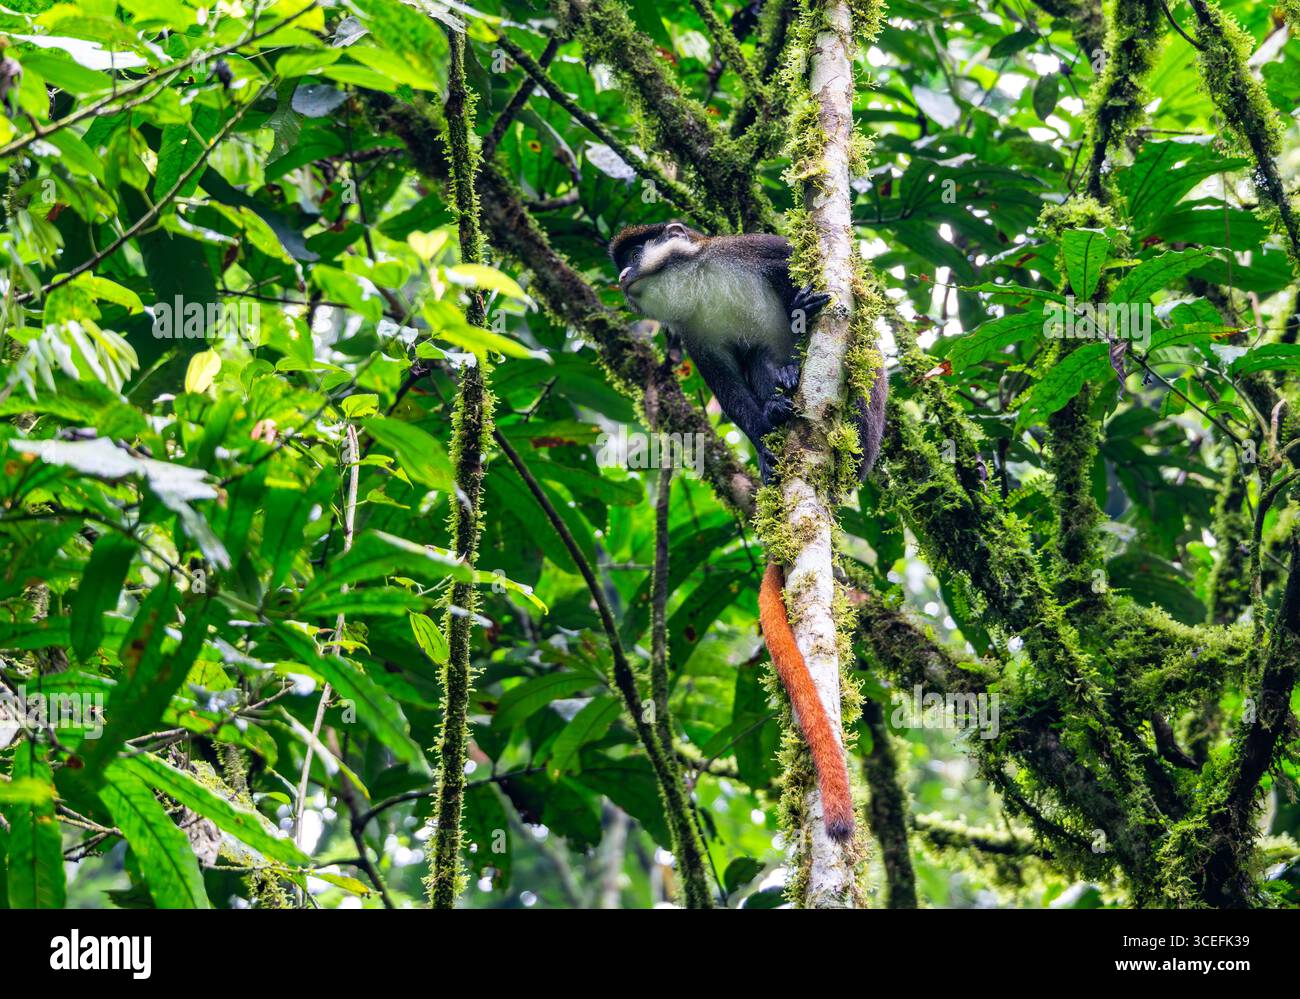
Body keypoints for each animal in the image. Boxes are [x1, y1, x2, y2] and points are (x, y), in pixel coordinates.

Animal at [610, 221, 887, 842]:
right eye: (621, 261)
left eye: (635, 252)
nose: (621, 276)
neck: (697, 282)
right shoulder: (694, 339)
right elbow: (731, 386)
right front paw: (764, 433)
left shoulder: (754, 250)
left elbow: (829, 289)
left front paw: (807, 302)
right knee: (761, 364)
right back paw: (779, 406)